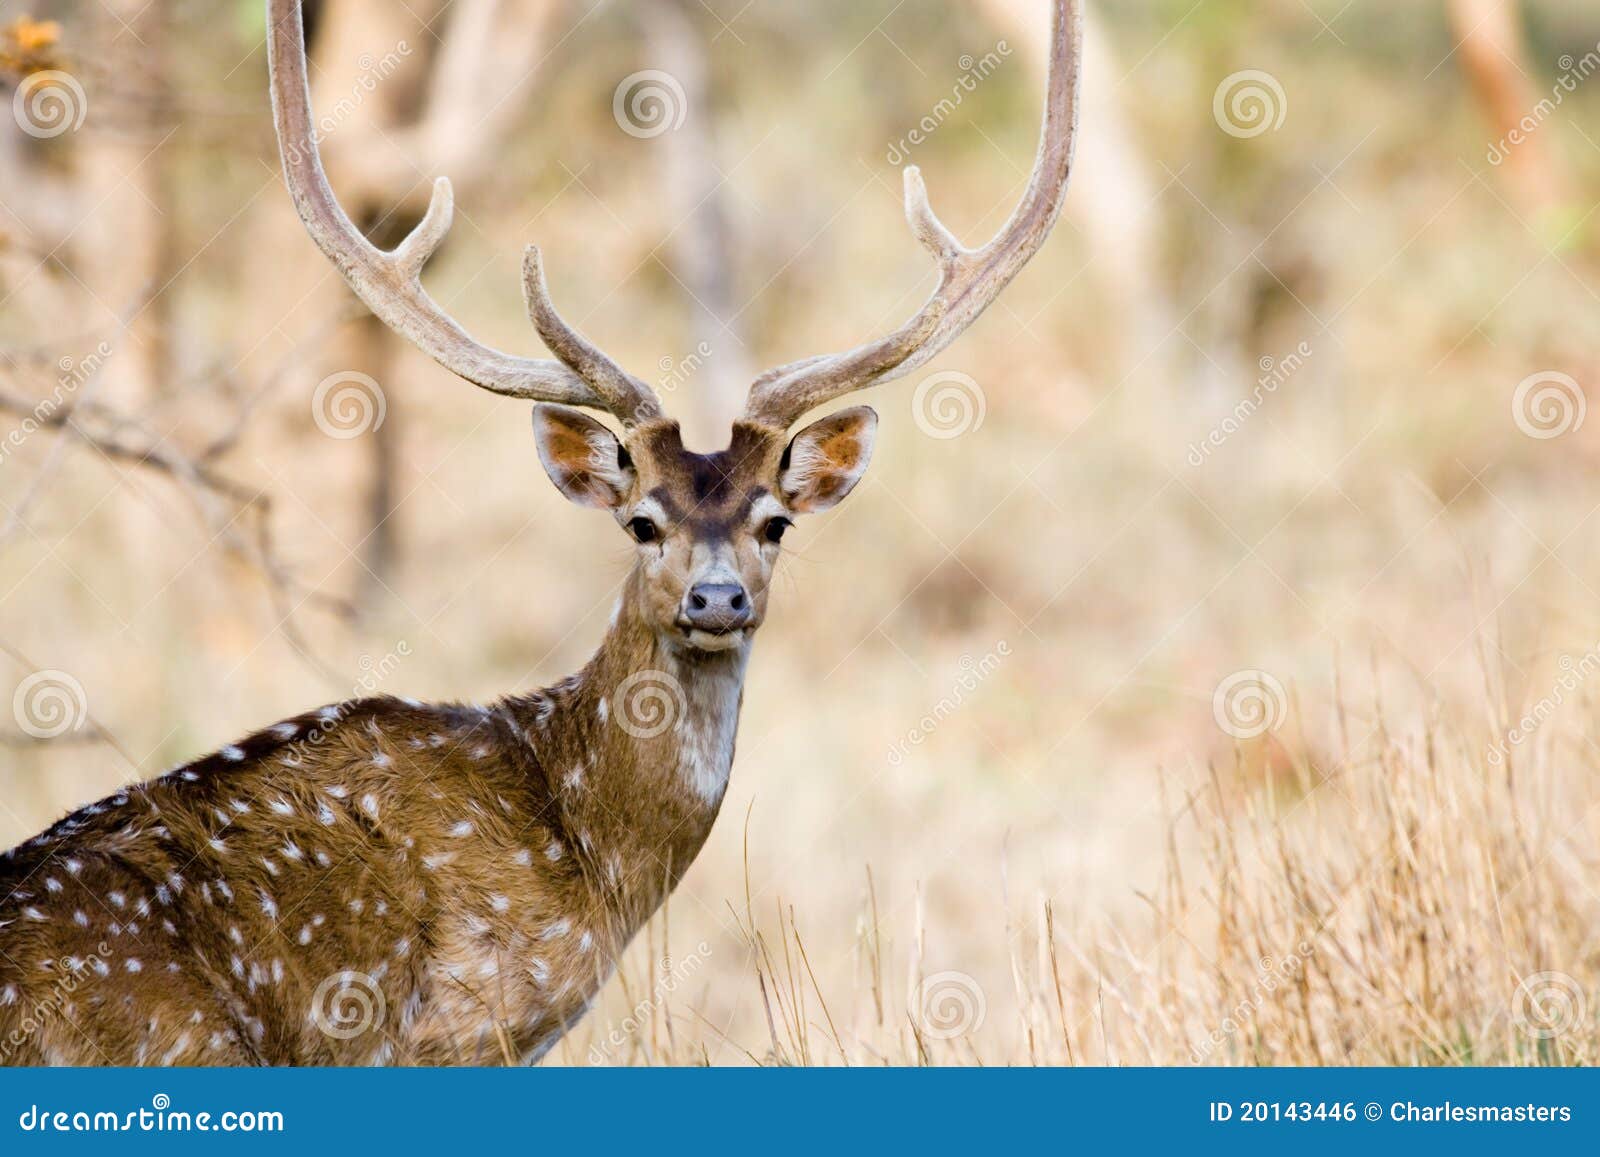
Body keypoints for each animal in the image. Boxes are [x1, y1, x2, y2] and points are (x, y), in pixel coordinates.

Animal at [0, 0, 1081, 1066]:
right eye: (642, 519)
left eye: (773, 521)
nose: (716, 596)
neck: (583, 849)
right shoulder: (463, 1030)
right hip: (176, 1040)